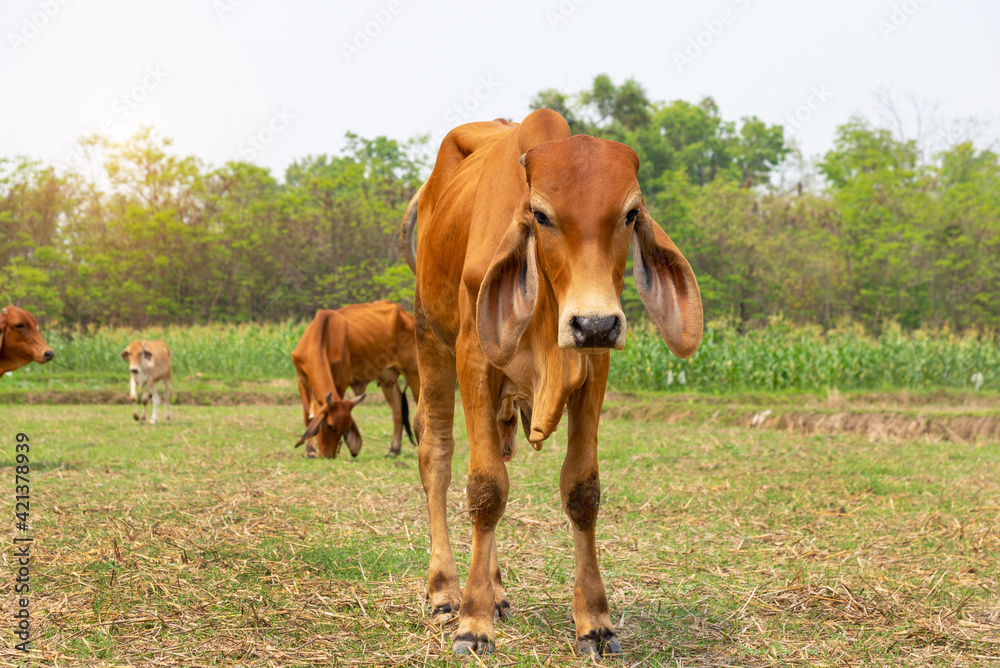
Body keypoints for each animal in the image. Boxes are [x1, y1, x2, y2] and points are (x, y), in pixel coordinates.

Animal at [291, 301, 421, 459]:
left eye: (345, 428)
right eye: (329, 425)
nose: (328, 456)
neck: (321, 337)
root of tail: (405, 314)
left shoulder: (341, 380)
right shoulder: (301, 378)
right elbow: (307, 416)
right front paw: (310, 451)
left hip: (414, 373)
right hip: (387, 379)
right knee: (397, 410)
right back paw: (393, 450)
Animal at [401, 109, 703, 656]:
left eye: (630, 213)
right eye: (541, 215)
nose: (595, 323)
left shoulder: (594, 367)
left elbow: (582, 491)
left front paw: (595, 622)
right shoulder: (474, 358)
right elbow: (485, 491)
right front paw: (473, 623)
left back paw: (496, 590)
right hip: (429, 335)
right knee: (436, 454)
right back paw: (446, 592)